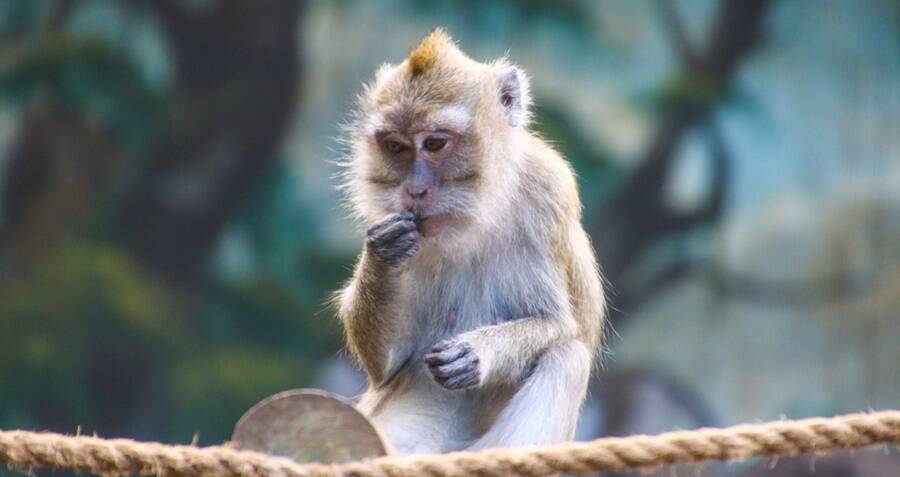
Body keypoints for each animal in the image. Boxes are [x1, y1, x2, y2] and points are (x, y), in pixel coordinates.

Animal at [335, 28, 605, 455]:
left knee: (567, 357)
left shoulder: (547, 193)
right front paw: (382, 252)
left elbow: (557, 323)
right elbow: (389, 364)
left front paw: (477, 353)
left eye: (435, 144)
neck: (477, 216)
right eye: (396, 147)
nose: (415, 190)